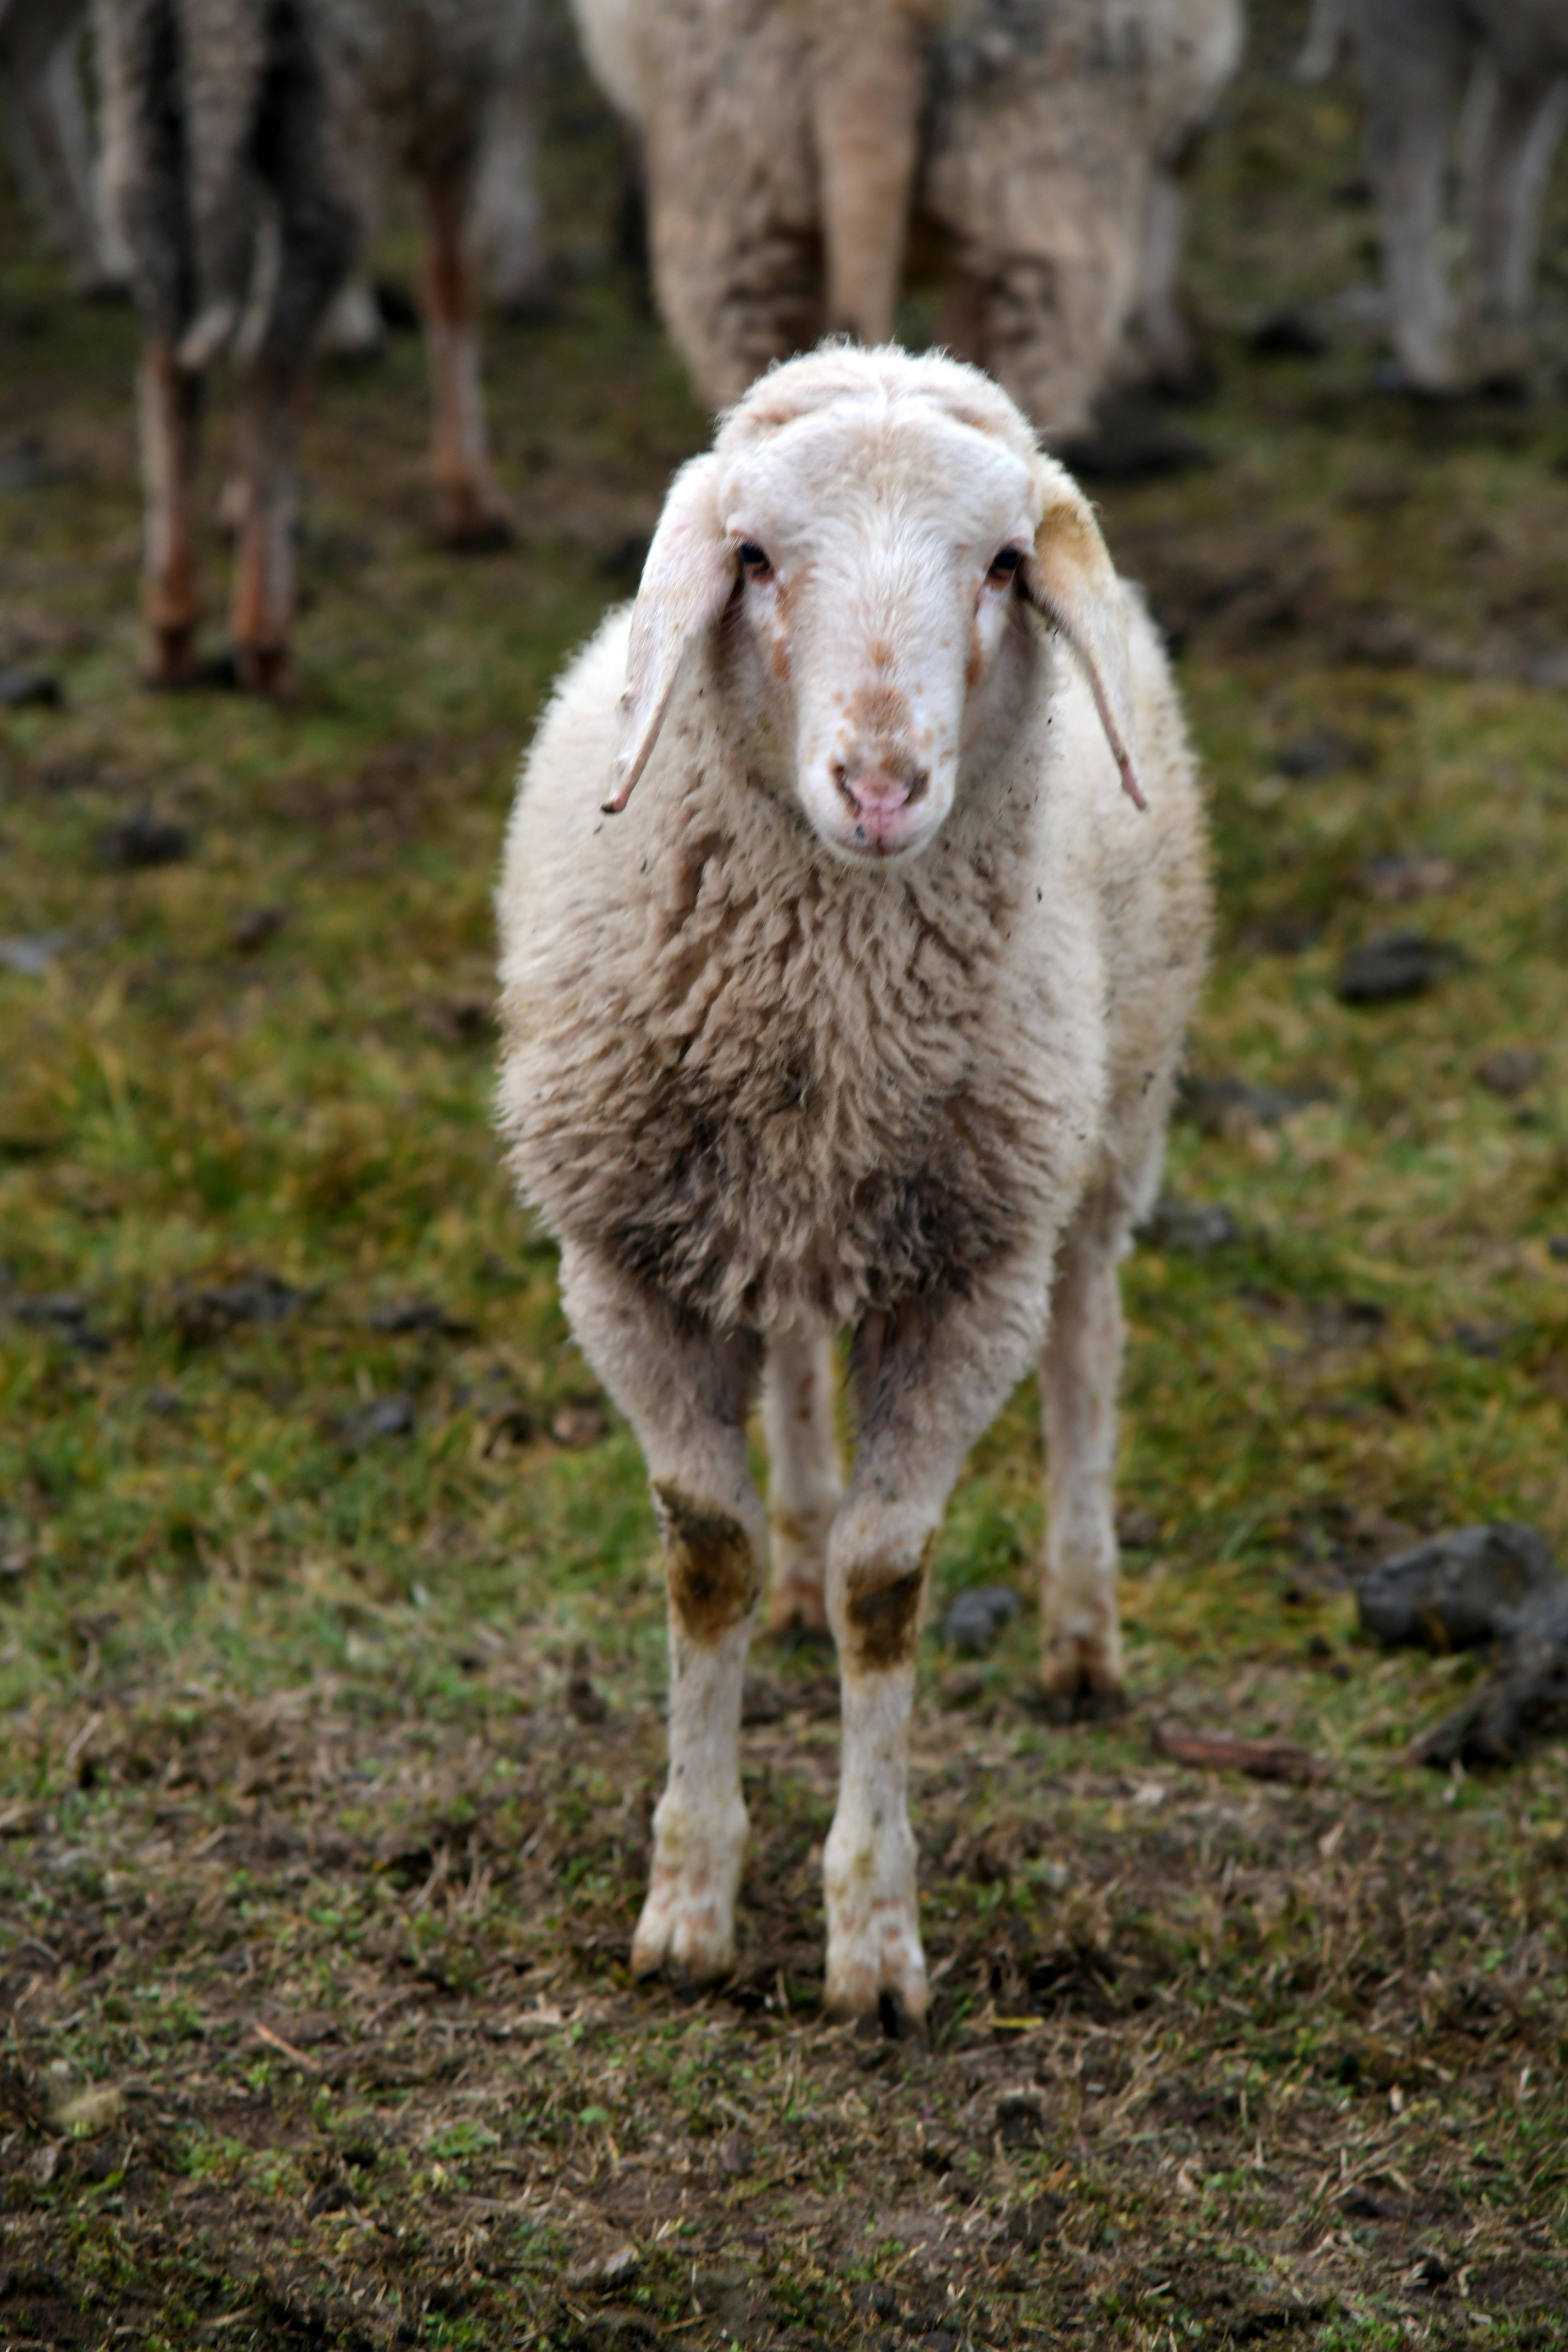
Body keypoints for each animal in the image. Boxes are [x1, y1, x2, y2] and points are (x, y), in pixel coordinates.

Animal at [96, 0, 543, 695]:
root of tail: (214, 27)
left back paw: (172, 627)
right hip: (338, 117)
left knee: (170, 357)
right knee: (267, 360)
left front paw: (241, 503)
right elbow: (449, 281)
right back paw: (264, 635)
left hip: (142, 112)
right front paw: (471, 499)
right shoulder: (468, 87)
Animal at [496, 344, 1210, 2023]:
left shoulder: (967, 1283)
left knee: (1089, 1353)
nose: (880, 785)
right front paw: (687, 1906)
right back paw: (806, 1560)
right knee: (797, 1366)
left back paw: (1081, 1630)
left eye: (1004, 565)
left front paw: (873, 1941)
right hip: (779, 1221)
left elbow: (893, 1586)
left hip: (1100, 1140)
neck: (828, 1013)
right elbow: (708, 1557)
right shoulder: (627, 1268)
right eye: (754, 558)